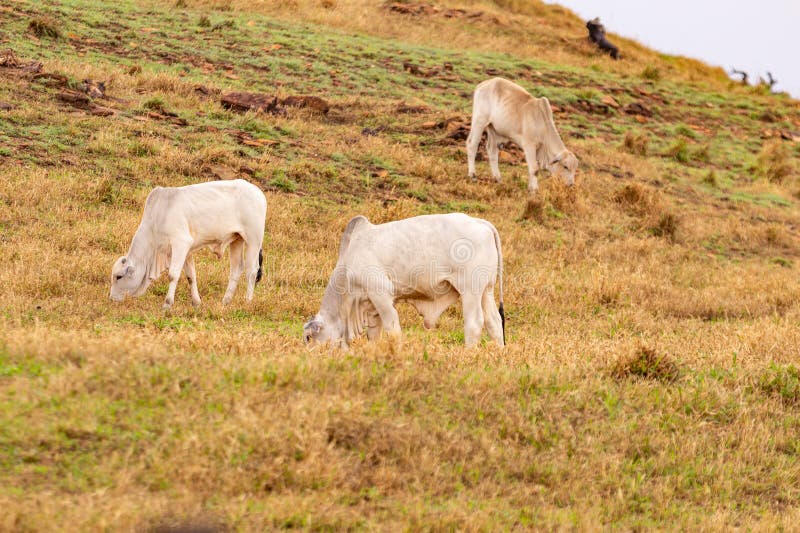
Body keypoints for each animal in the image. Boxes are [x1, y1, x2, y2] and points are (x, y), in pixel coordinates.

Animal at [110, 179, 267, 310]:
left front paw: (167, 304)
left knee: (251, 271)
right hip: (236, 240)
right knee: (236, 269)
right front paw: (196, 302)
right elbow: (191, 277)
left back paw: (247, 301)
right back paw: (225, 302)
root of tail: (258, 192)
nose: (112, 299)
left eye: (119, 276)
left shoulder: (180, 243)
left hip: (253, 239)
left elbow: (173, 275)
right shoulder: (187, 251)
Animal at [303, 213, 505, 348]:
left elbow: (392, 330)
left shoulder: (381, 295)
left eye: (308, 338)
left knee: (474, 323)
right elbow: (373, 333)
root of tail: (481, 223)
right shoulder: (371, 305)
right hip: (487, 290)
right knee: (494, 323)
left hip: (471, 290)